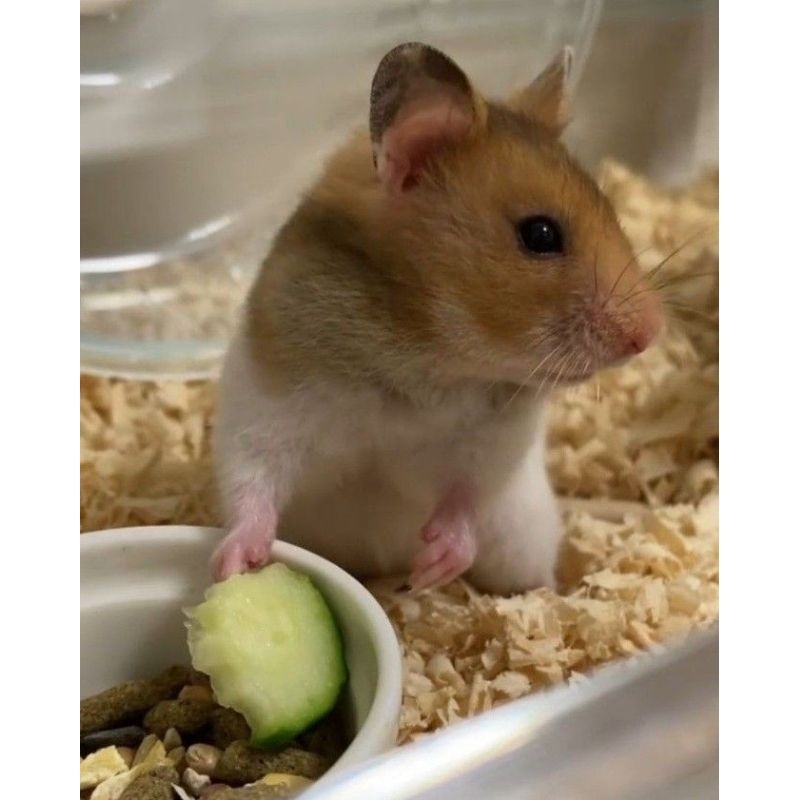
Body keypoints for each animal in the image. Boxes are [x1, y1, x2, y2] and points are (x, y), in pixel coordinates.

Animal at [210, 43, 663, 595]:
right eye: (540, 234)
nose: (650, 334)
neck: (426, 351)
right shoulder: (268, 404)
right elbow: (253, 483)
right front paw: (231, 567)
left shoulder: (491, 444)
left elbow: (466, 495)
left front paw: (434, 566)